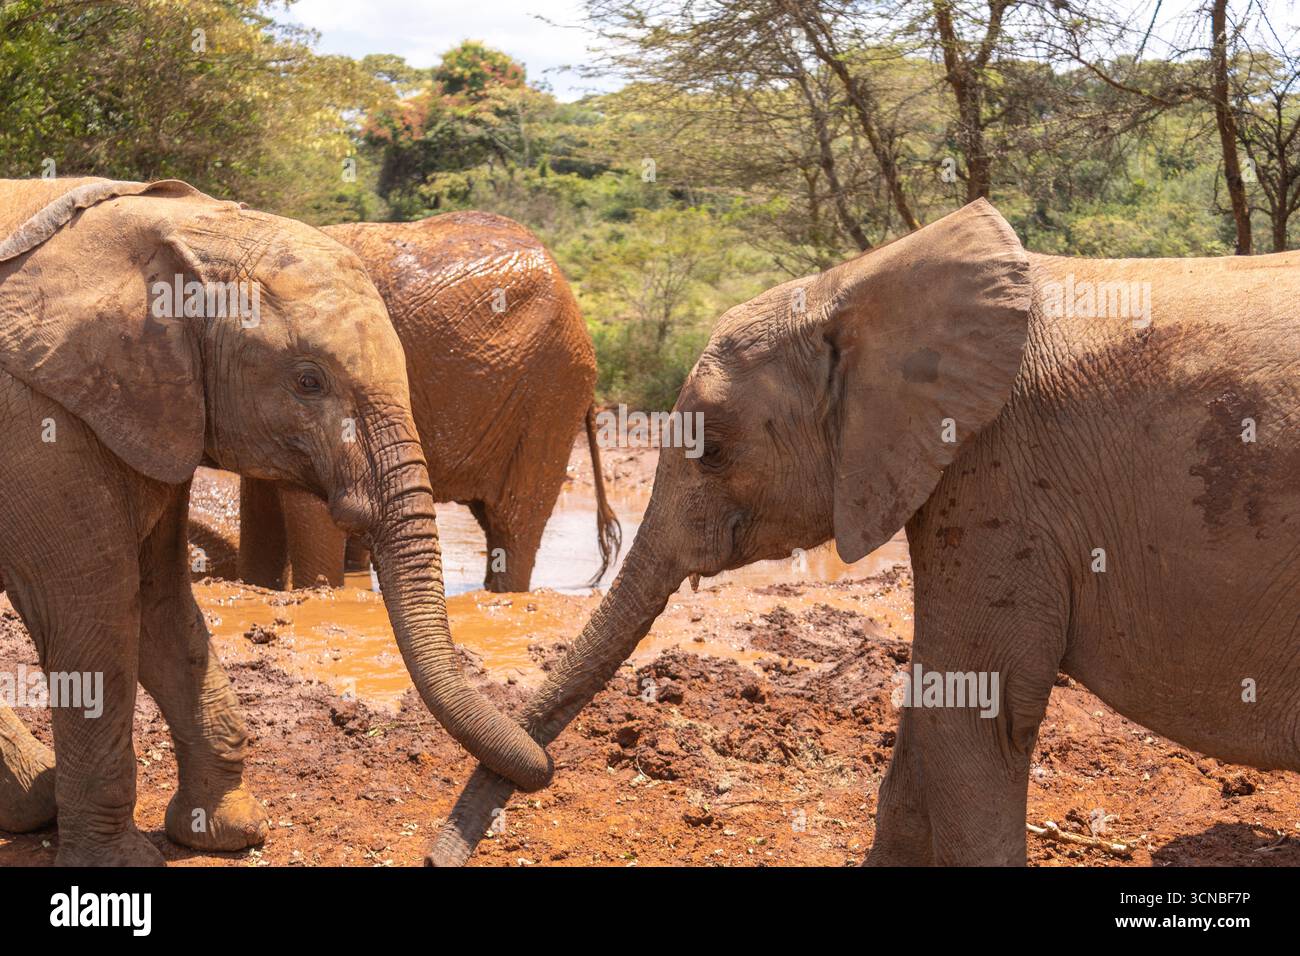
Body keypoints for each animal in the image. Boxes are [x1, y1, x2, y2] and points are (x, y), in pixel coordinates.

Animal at [0, 177, 549, 865]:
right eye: (309, 382)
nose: (541, 766)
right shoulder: (36, 419)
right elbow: (92, 613)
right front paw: (120, 862)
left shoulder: (152, 411)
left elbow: (161, 604)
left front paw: (226, 832)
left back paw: (29, 800)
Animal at [424, 199, 1300, 866]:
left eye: (711, 448)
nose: (438, 856)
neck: (854, 284)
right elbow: (930, 722)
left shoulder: (1005, 475)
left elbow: (973, 718)